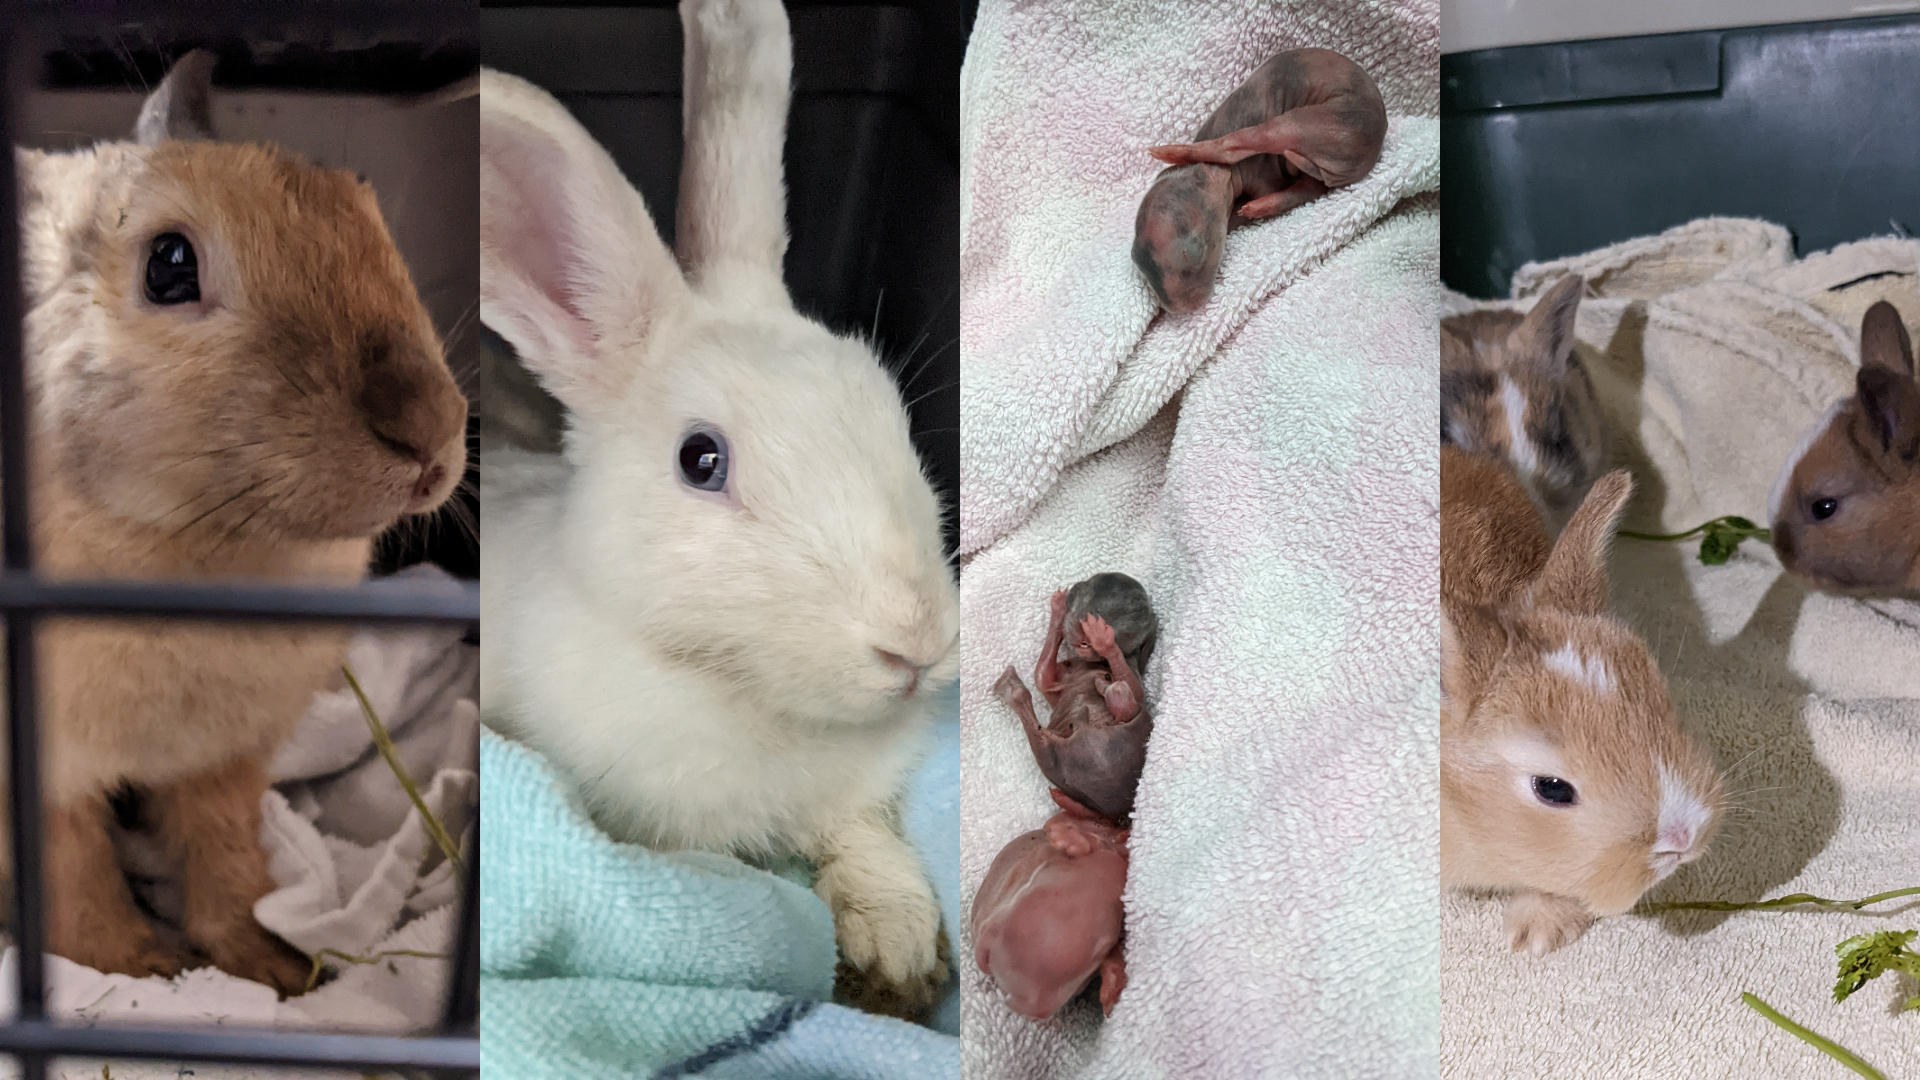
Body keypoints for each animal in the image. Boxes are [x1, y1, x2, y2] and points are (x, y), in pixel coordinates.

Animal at [11, 49, 468, 993]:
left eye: (359, 200)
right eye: (168, 264)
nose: (431, 431)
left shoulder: (222, 762)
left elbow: (225, 855)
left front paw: (274, 967)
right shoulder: (43, 776)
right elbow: (72, 870)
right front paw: (139, 970)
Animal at [476, 0, 960, 1022]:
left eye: (889, 414)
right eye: (702, 460)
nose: (916, 644)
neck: (737, 691)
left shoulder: (859, 794)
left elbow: (867, 844)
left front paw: (898, 953)